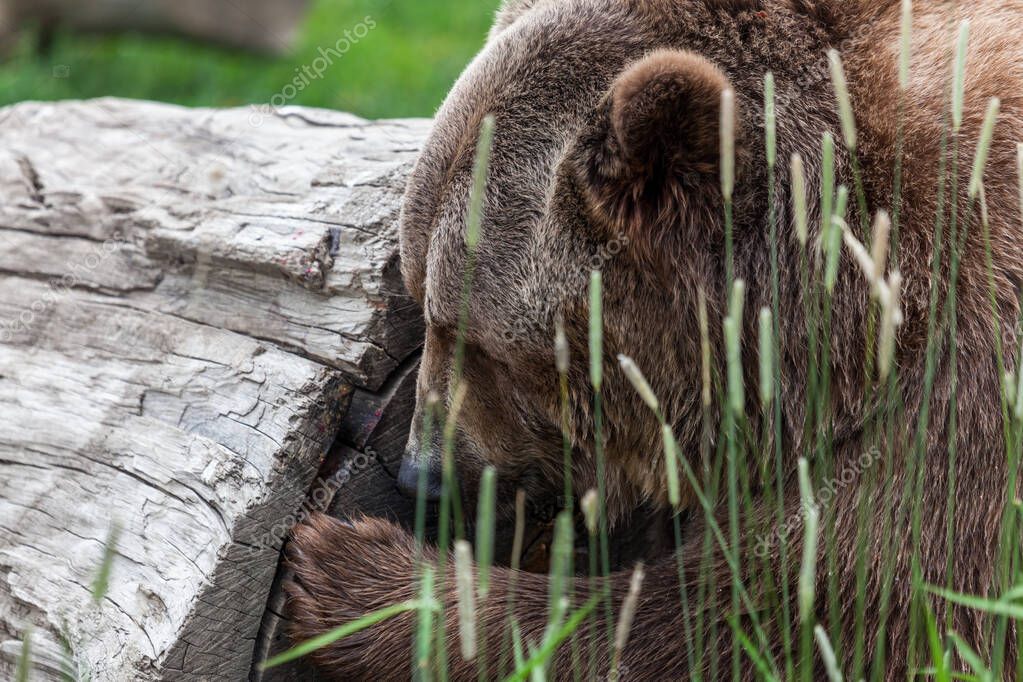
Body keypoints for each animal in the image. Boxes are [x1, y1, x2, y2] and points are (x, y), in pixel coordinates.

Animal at [285, 0, 1023, 679]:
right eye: (418, 299)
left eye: (483, 344)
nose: (422, 475)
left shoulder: (962, 406)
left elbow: (775, 621)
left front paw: (347, 573)